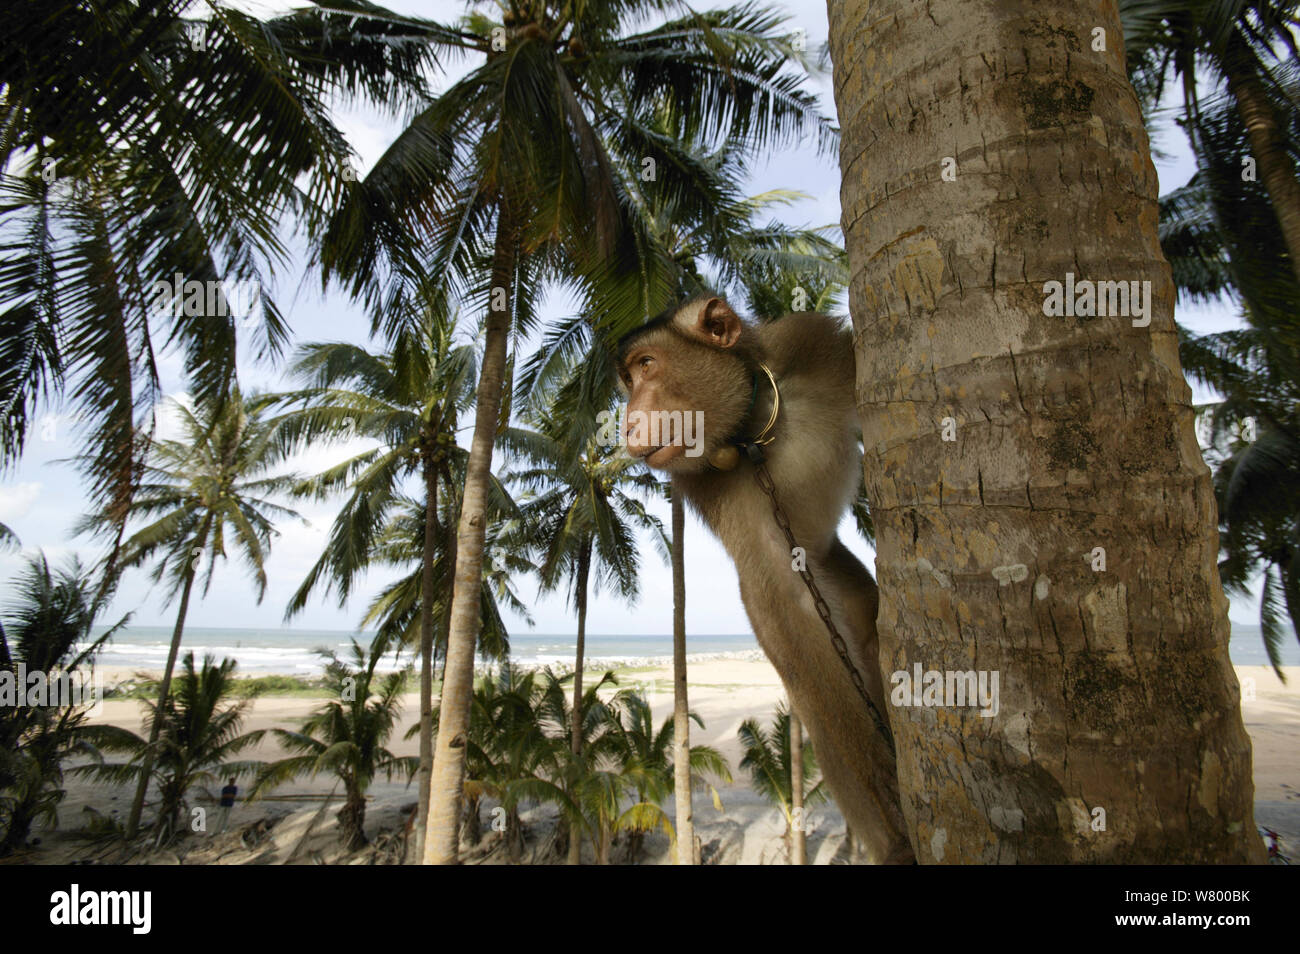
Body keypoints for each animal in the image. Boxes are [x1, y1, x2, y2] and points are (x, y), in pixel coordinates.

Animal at [617, 296, 915, 864]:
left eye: (646, 365)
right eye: (629, 378)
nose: (625, 423)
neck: (753, 432)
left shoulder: (814, 346)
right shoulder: (710, 484)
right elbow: (784, 590)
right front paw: (892, 810)